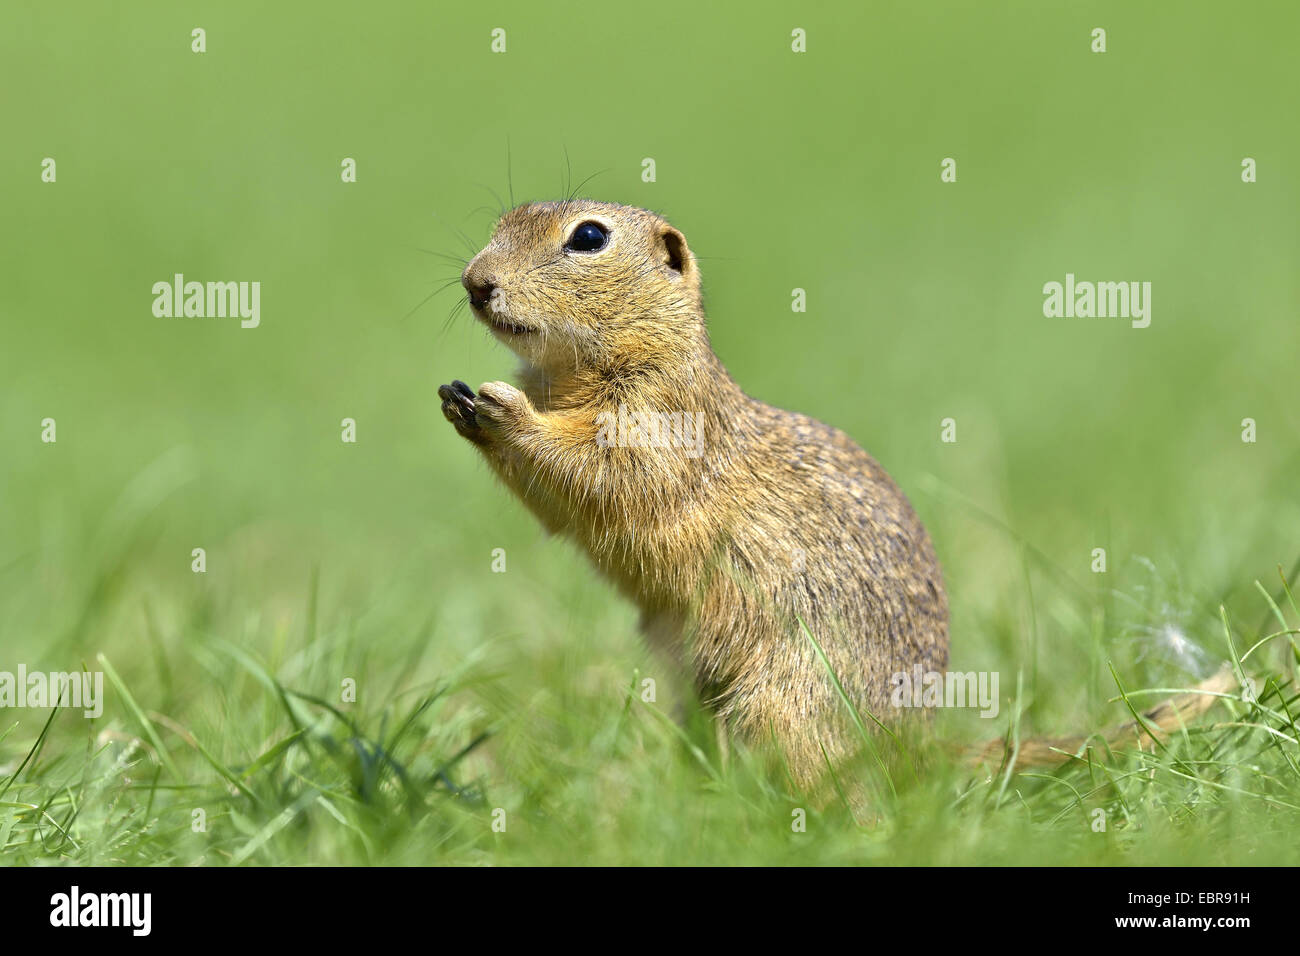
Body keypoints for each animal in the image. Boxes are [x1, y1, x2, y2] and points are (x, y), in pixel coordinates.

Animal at [438, 200, 1233, 792]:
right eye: (502, 219)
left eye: (589, 237)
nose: (475, 281)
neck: (574, 374)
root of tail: (910, 747)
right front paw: (459, 399)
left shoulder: (661, 422)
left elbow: (599, 472)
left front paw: (505, 410)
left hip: (785, 699)